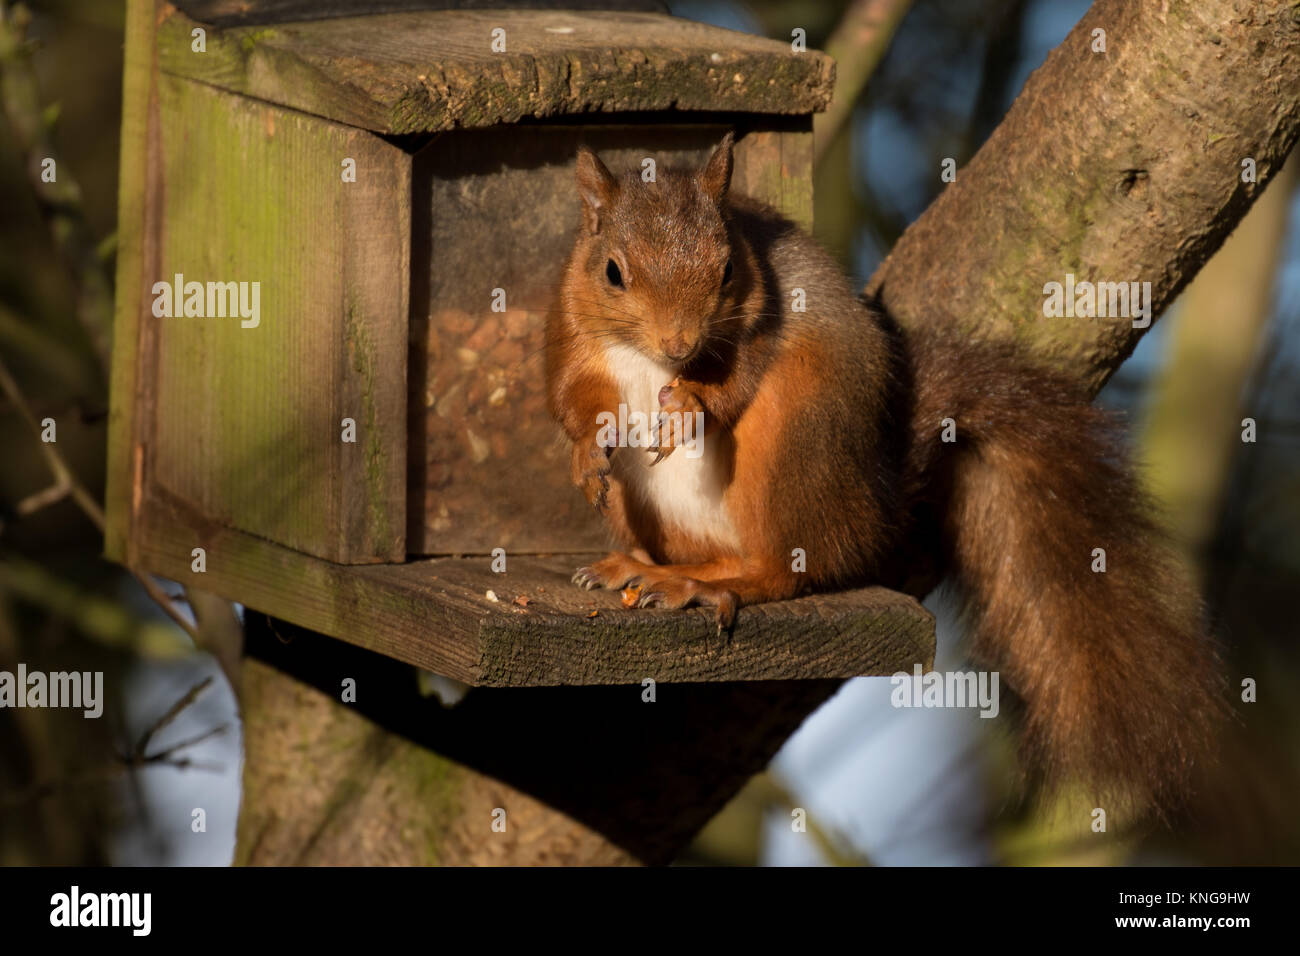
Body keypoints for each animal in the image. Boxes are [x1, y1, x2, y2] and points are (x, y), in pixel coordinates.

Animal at [545, 133, 1225, 810]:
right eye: (612, 272)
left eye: (729, 269)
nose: (680, 345)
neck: (651, 361)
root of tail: (873, 509)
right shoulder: (573, 331)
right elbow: (573, 396)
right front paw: (587, 451)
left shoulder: (762, 320)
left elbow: (736, 377)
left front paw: (692, 404)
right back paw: (648, 566)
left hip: (795, 442)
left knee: (787, 569)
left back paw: (705, 584)